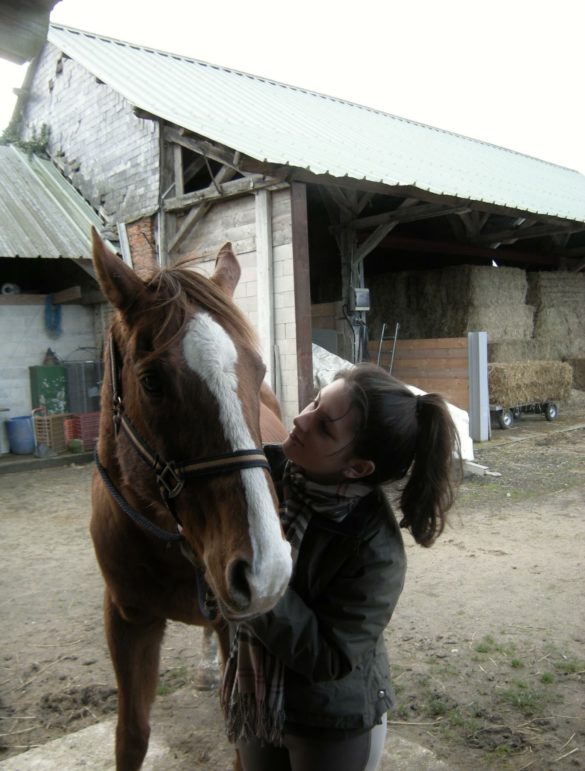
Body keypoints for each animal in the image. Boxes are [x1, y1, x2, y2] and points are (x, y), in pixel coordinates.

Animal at [89, 228, 291, 770]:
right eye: (151, 381)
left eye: (258, 368)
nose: (265, 571)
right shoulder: (126, 619)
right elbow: (131, 735)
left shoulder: (233, 627)